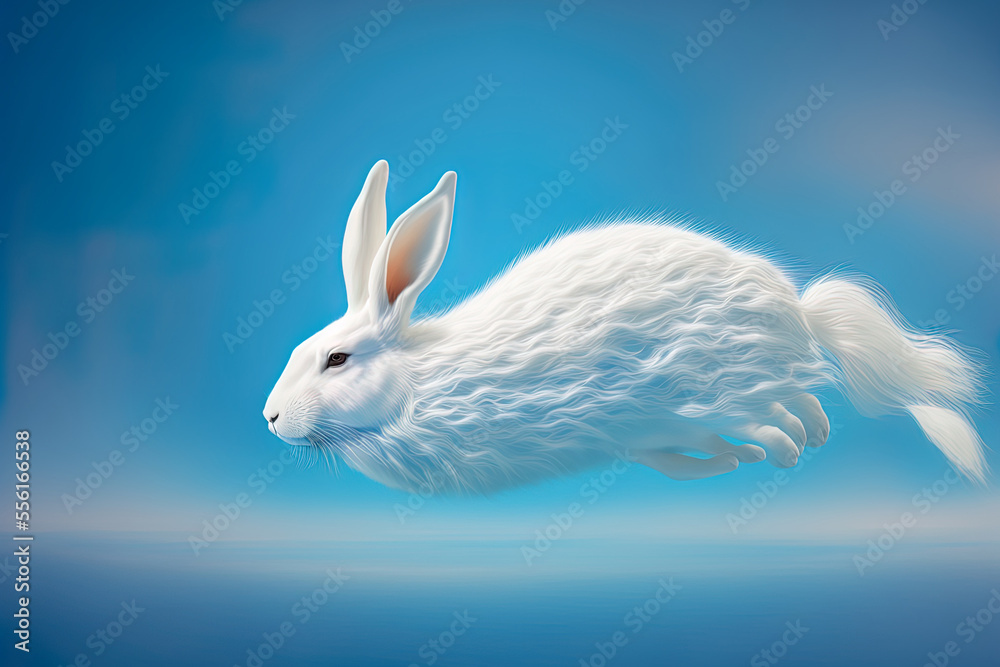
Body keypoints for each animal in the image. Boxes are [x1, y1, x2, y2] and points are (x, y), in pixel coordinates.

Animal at [263, 160, 988, 494]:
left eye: (336, 359)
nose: (269, 418)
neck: (419, 384)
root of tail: (798, 308)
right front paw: (734, 462)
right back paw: (761, 453)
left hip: (714, 387)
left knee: (785, 418)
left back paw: (784, 447)